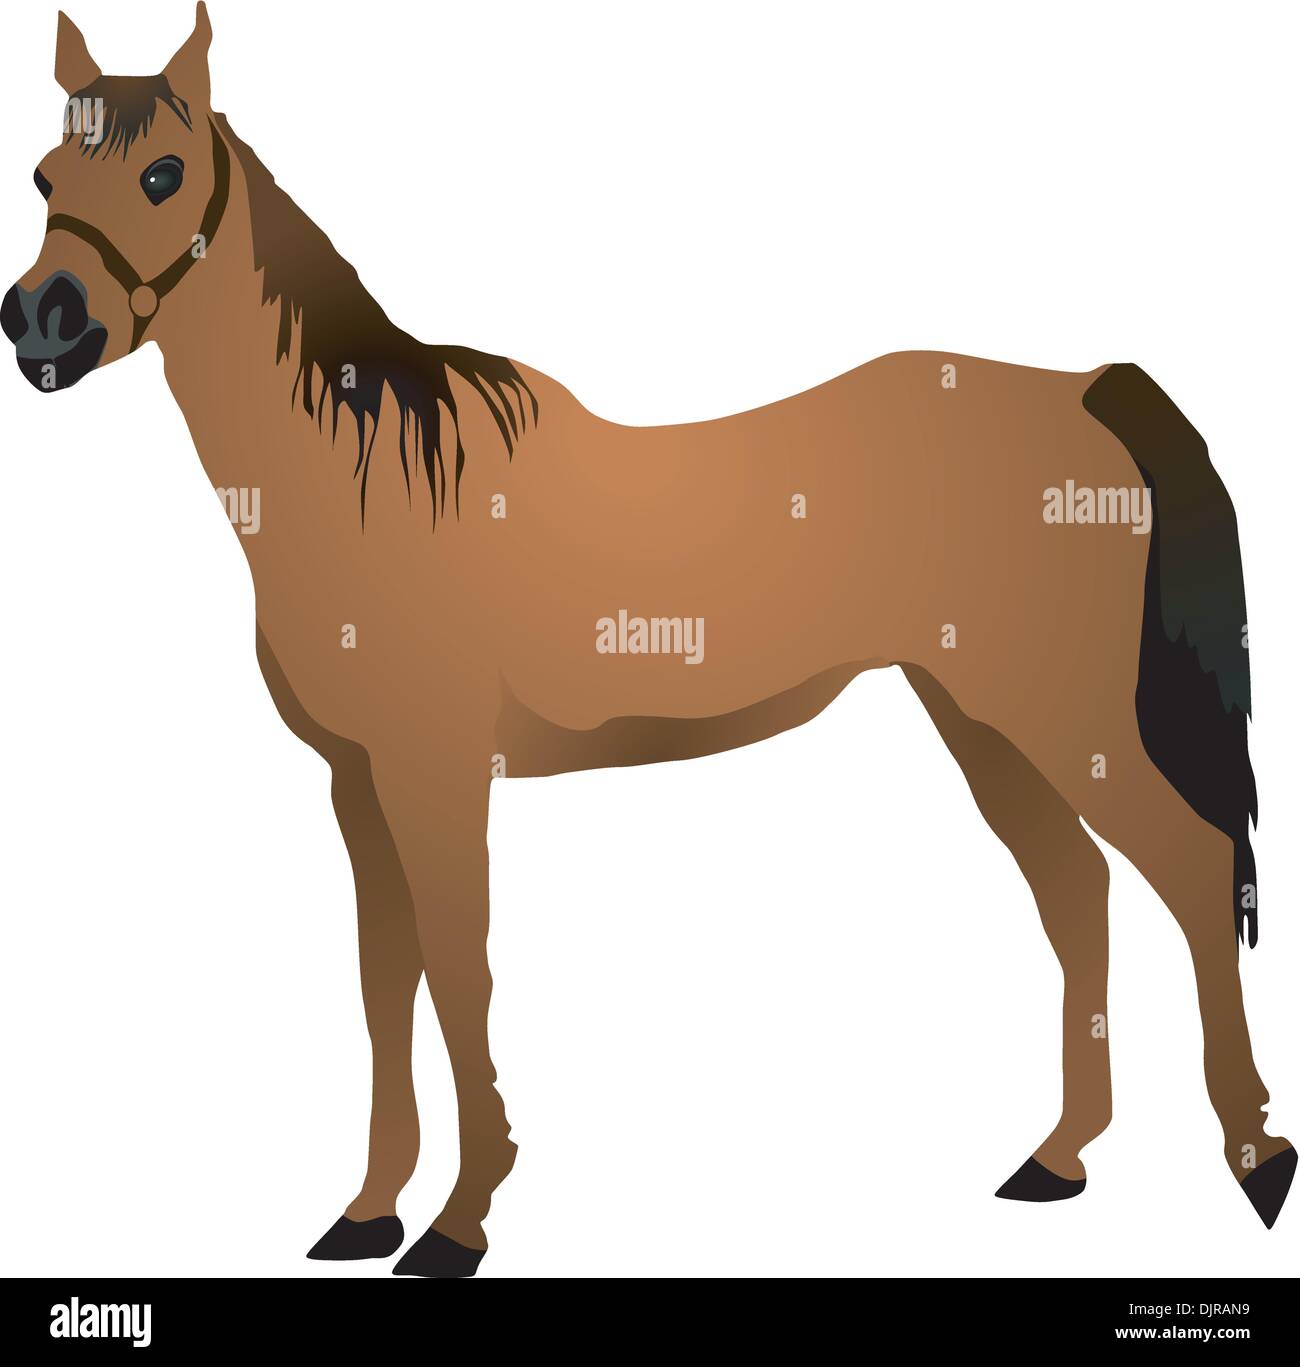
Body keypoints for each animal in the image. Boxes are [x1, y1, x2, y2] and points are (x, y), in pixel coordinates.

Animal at [3, 4, 1292, 1276]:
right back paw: (1057, 1159)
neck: (371, 479)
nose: (42, 323)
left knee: (1187, 867)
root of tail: (1084, 389)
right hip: (979, 719)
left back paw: (1256, 1160)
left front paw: (460, 1220)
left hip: (1063, 718)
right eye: (44, 175)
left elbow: (459, 968)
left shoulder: (434, 776)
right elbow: (384, 977)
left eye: (164, 174)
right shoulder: (357, 783)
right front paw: (368, 1211)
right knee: (1078, 890)